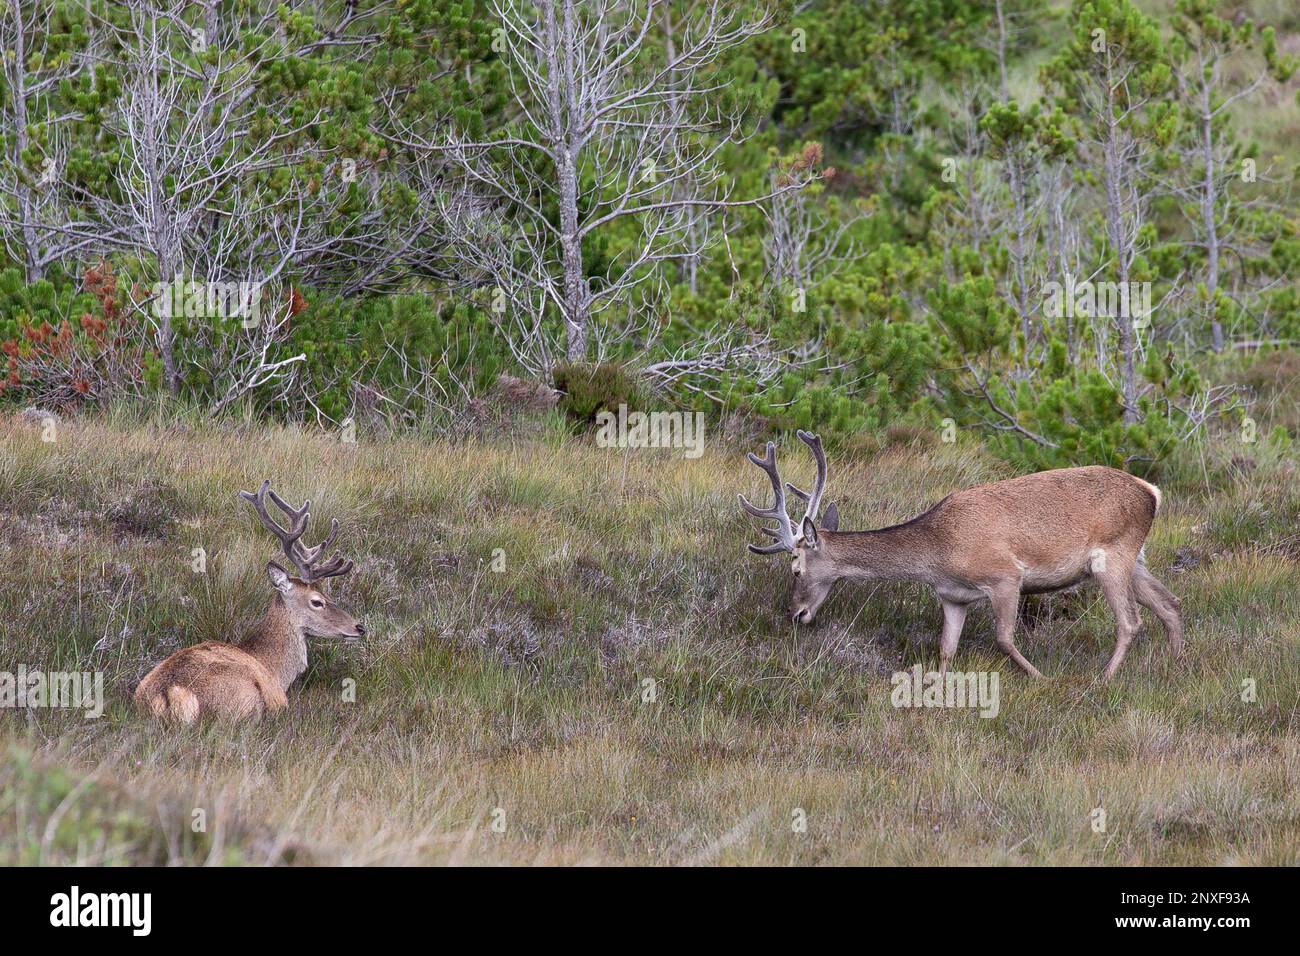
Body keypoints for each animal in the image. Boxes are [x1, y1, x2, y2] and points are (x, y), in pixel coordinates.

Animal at [134, 480, 365, 722]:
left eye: (328, 595)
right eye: (317, 602)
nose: (359, 627)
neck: (273, 668)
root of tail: (169, 693)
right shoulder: (277, 697)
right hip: (242, 701)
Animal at [738, 431, 1184, 681]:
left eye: (796, 569)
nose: (796, 614)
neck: (937, 554)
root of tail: (1152, 492)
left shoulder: (1005, 576)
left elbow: (1003, 638)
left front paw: (1041, 678)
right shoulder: (952, 597)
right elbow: (946, 649)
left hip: (1113, 555)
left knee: (1131, 621)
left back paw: (1104, 679)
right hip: (1136, 558)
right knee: (1170, 603)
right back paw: (1176, 666)